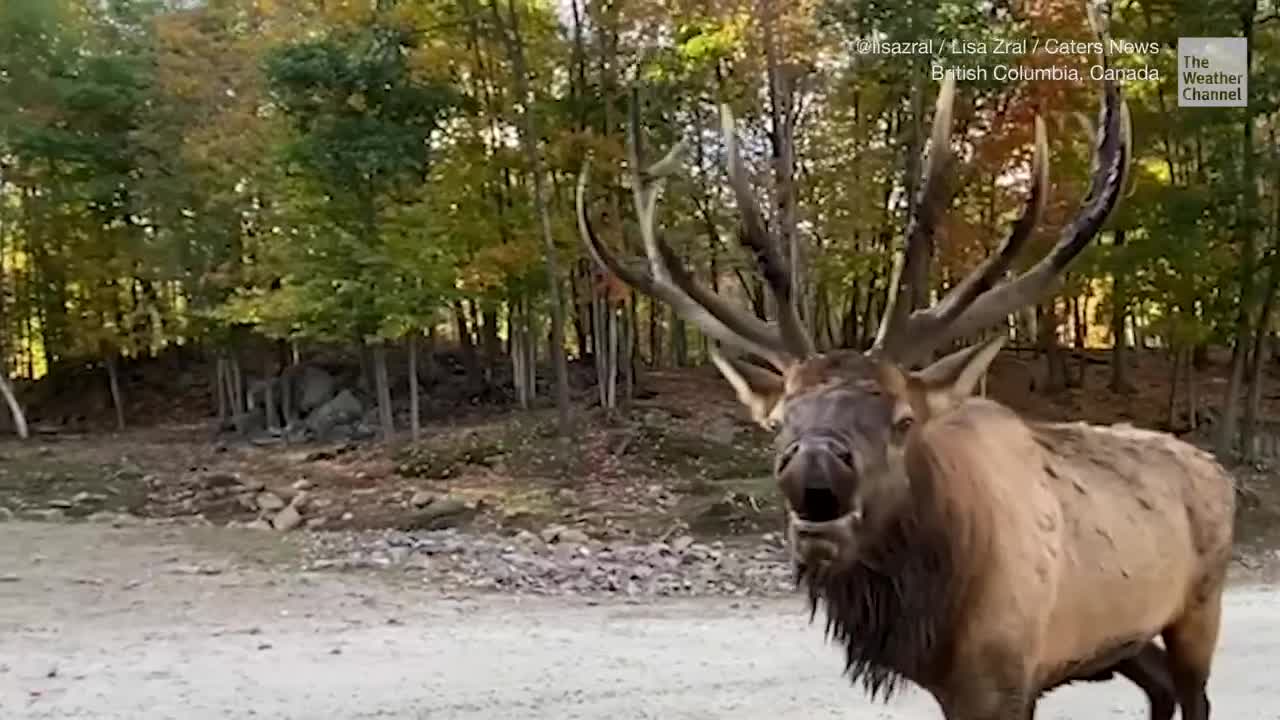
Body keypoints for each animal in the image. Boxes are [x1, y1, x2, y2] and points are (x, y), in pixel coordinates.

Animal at [573, 16, 1236, 720]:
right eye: (779, 421)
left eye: (902, 420)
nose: (814, 463)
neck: (929, 614)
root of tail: (1221, 474)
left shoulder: (1009, 676)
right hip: (1124, 638)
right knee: (1160, 688)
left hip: (1200, 606)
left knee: (1194, 693)